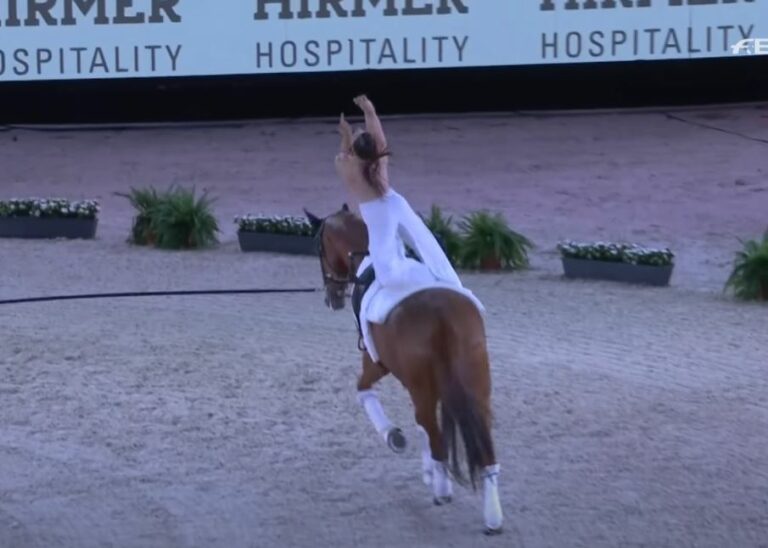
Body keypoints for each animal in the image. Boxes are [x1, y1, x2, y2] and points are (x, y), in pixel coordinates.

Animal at [304, 204, 504, 535]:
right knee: (479, 441)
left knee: (431, 428)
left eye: (318, 248)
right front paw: (428, 469)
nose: (331, 298)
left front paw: (394, 437)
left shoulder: (377, 363)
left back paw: (442, 490)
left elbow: (363, 391)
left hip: (422, 385)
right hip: (476, 384)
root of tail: (442, 315)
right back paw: (492, 518)